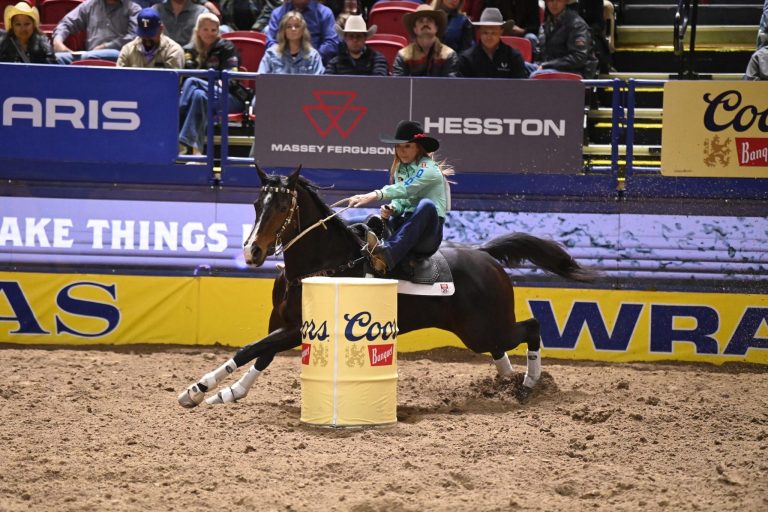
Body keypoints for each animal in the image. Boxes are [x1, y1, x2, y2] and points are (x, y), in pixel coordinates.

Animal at [178, 165, 596, 408]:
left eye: (282, 207)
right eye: (255, 204)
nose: (252, 251)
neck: (322, 263)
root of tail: (484, 255)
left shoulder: (298, 328)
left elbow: (250, 349)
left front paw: (198, 389)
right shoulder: (279, 322)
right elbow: (260, 354)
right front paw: (226, 391)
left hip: (485, 328)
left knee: (532, 327)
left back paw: (528, 383)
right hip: (480, 332)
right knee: (505, 346)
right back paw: (508, 378)